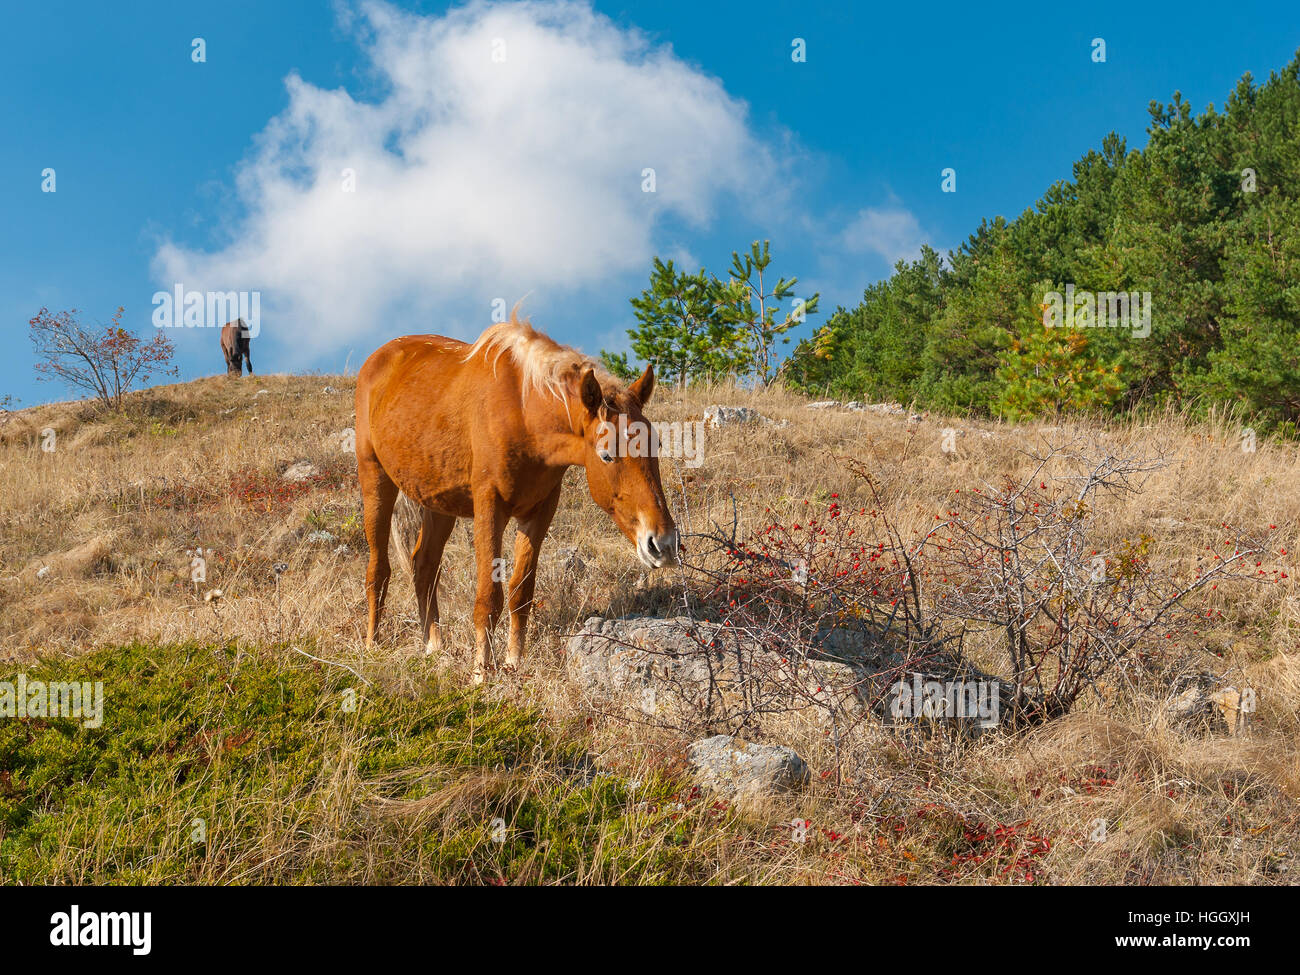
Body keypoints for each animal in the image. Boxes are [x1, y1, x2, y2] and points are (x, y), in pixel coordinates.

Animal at [354, 315, 680, 683]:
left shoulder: (539, 512)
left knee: (424, 565)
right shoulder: (489, 508)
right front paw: (481, 674)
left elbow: (520, 592)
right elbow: (488, 598)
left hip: (439, 503)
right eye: (607, 455)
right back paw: (372, 644)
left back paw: (433, 646)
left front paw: (513, 664)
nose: (663, 544)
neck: (523, 413)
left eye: (657, 446)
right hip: (375, 480)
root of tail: (380, 357)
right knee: (379, 570)